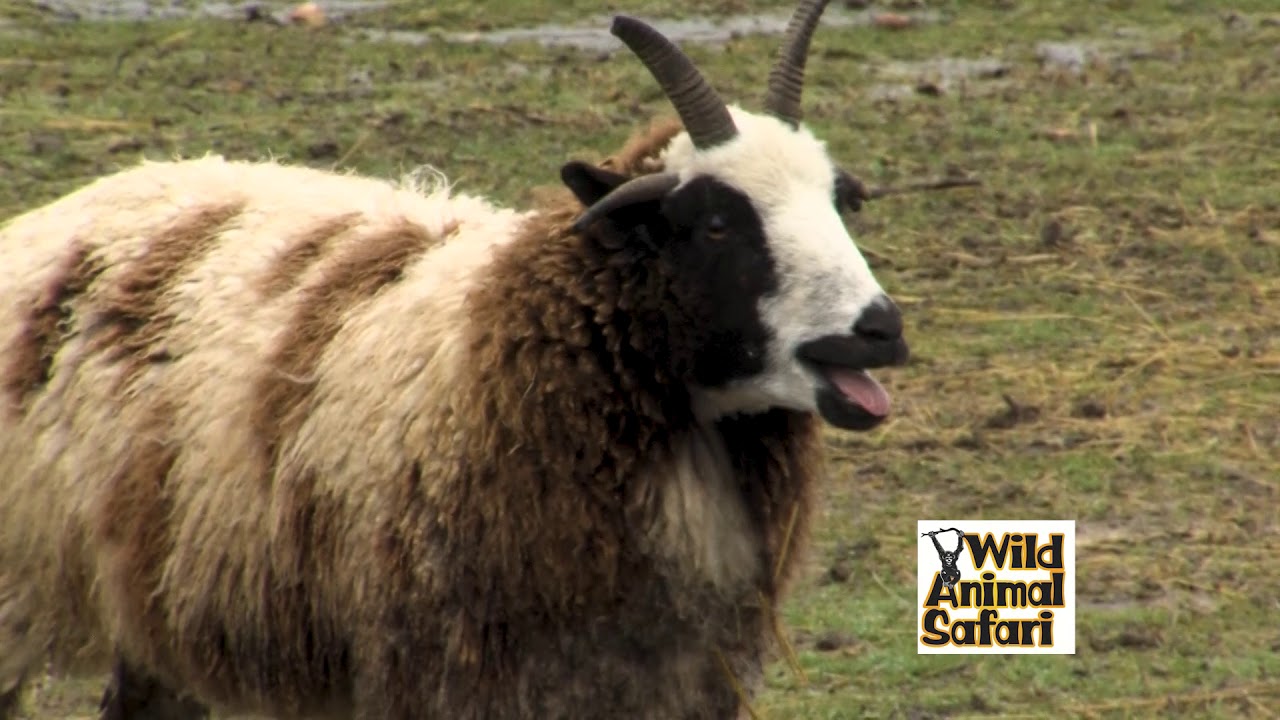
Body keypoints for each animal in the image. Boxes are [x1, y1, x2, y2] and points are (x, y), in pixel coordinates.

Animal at [0, 2, 910, 718]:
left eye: (842, 200)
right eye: (715, 223)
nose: (880, 331)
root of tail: (76, 206)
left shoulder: (671, 679)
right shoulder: (450, 666)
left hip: (164, 600)